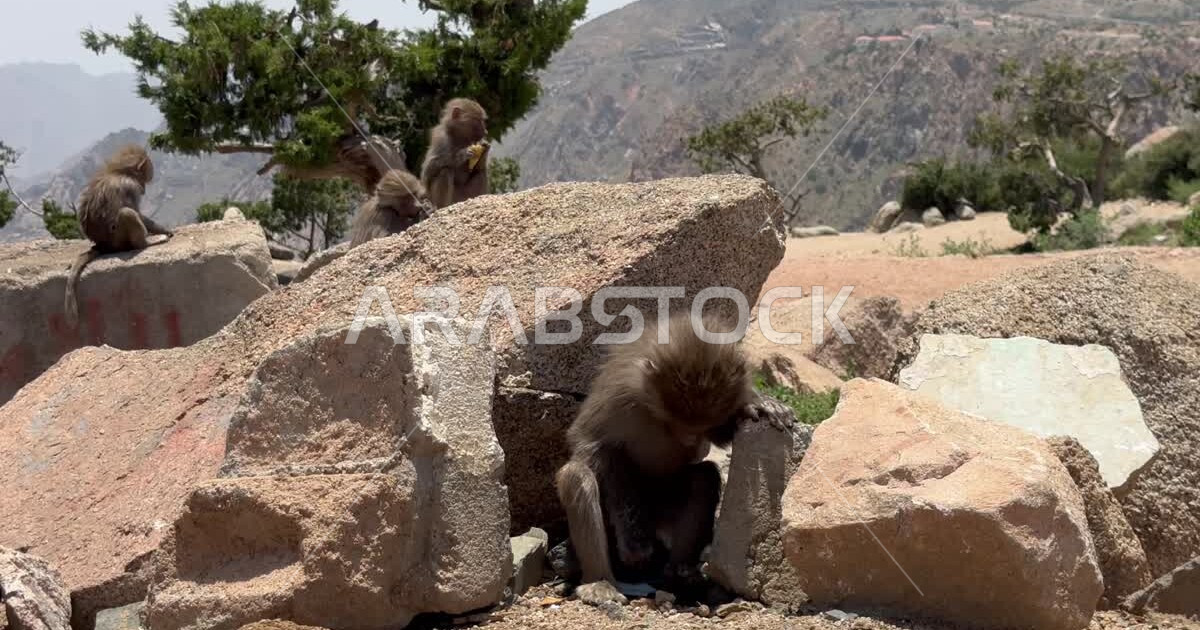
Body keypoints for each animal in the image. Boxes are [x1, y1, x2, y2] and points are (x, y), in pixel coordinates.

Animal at [65, 145, 173, 326]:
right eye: (143, 179)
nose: (144, 189)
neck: (119, 172)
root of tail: (102, 245)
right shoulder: (131, 187)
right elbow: (136, 212)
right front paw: (164, 230)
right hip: (119, 240)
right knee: (127, 213)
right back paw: (144, 244)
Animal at [555, 313, 794, 606]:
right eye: (678, 423)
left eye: (699, 428)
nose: (691, 441)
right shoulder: (620, 394)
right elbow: (594, 445)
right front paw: (633, 540)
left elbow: (722, 436)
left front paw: (757, 405)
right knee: (577, 477)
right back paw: (600, 582)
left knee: (703, 478)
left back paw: (679, 572)